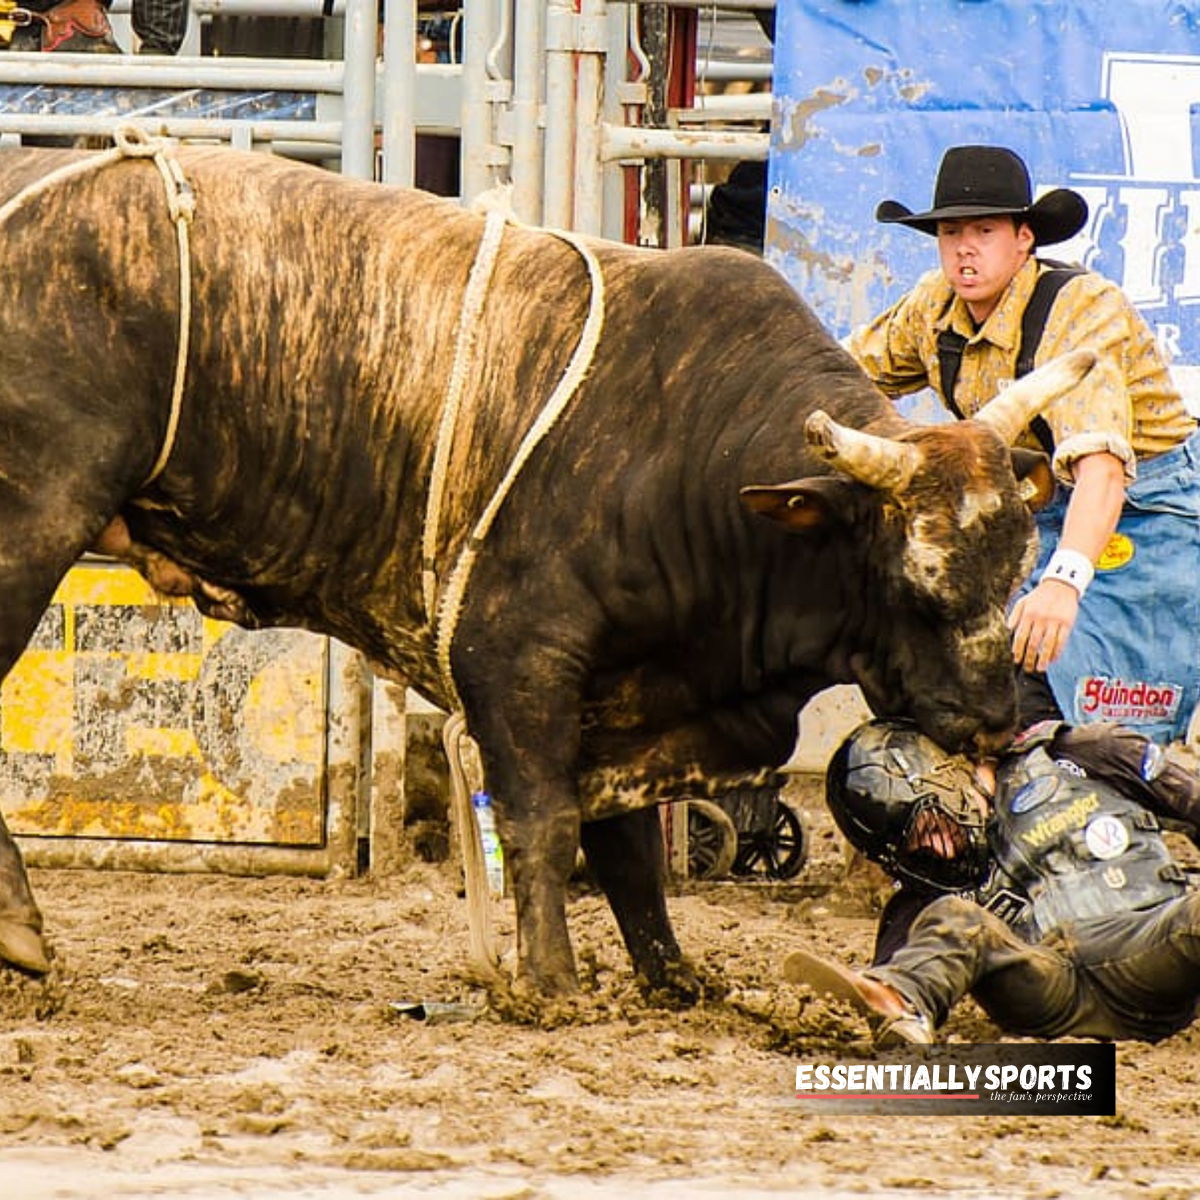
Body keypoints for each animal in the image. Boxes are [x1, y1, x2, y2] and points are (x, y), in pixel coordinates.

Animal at [0, 139, 1093, 999]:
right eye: (917, 584)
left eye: (1015, 574)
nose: (998, 721)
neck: (685, 448)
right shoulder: (515, 661)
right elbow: (545, 819)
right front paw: (553, 983)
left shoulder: (633, 691)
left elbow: (628, 846)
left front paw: (672, 974)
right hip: (31, 529)